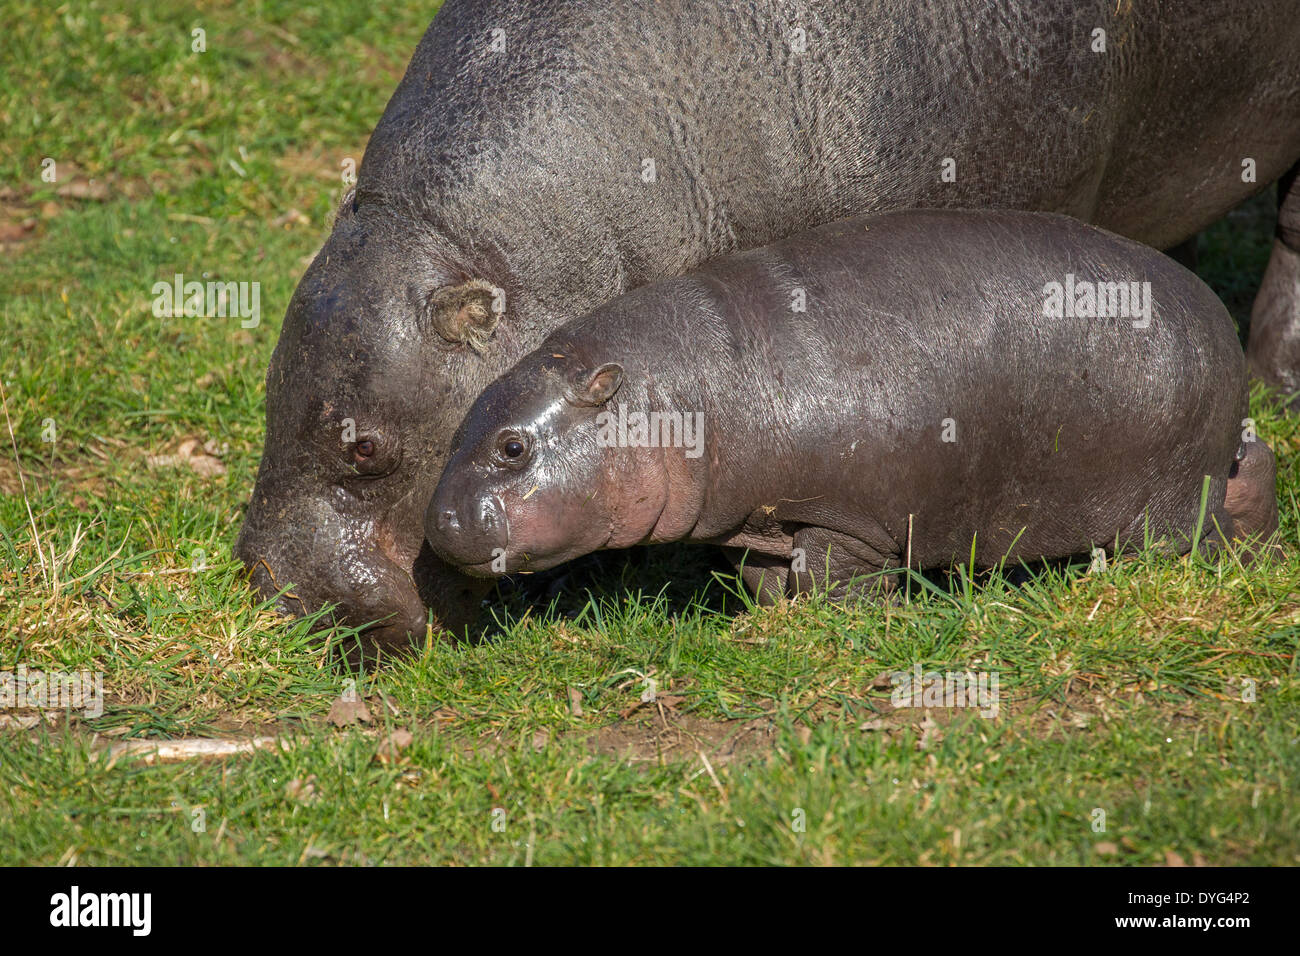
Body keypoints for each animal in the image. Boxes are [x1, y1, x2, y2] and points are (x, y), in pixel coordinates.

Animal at [425, 210, 1279, 598]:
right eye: (458, 431)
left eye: (512, 448)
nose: (438, 523)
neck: (675, 392)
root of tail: (1215, 315)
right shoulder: (758, 519)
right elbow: (765, 578)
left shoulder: (850, 519)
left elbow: (834, 577)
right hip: (1222, 463)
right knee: (1257, 471)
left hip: (1170, 493)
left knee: (1182, 540)